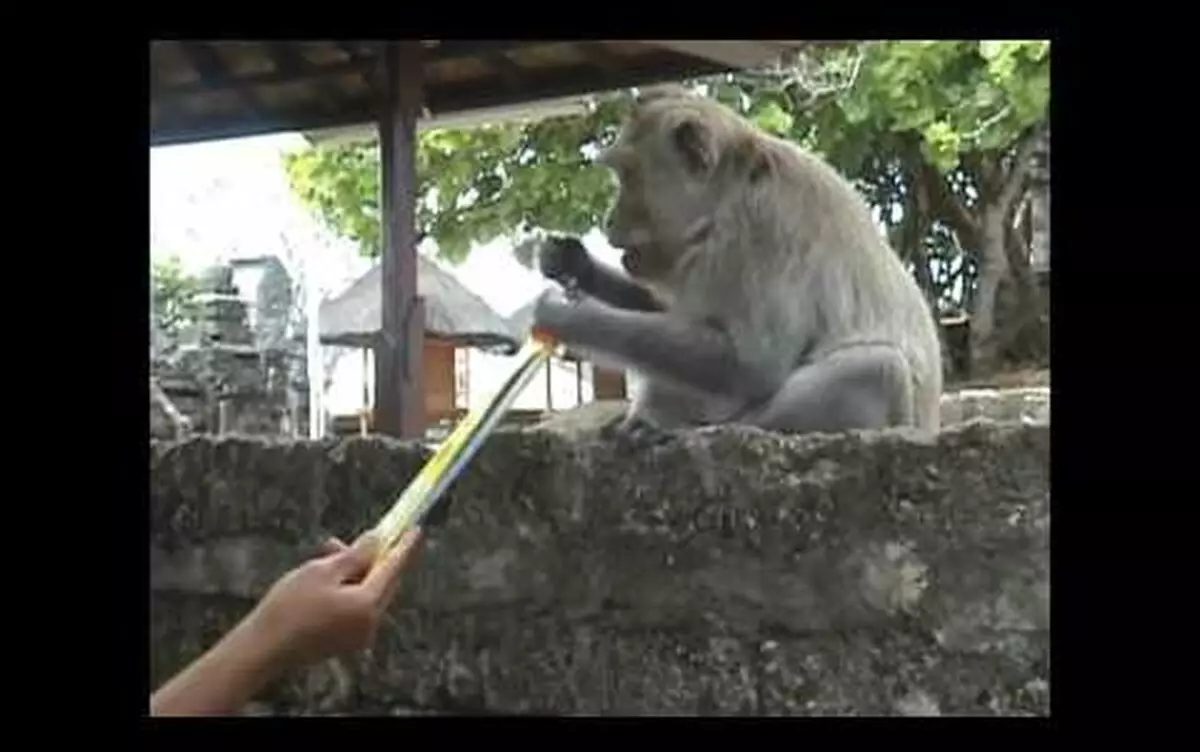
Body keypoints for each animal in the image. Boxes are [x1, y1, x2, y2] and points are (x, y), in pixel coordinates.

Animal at [530, 83, 940, 436]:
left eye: (629, 176)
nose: (608, 220)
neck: (725, 201)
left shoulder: (763, 228)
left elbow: (753, 366)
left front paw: (569, 317)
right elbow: (682, 315)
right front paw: (573, 263)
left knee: (879, 368)